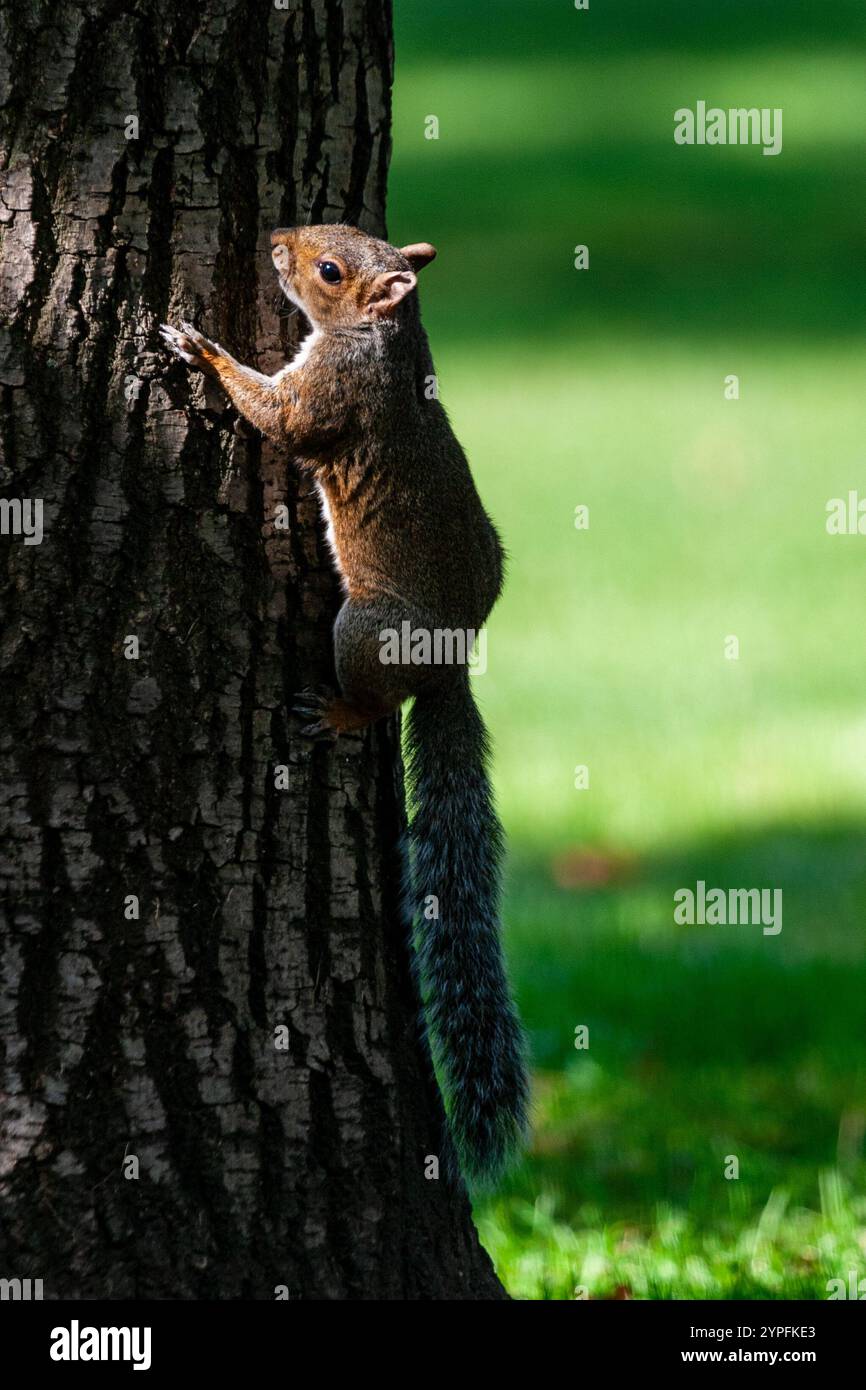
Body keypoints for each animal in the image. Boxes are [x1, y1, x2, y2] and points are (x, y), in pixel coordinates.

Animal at [161, 224, 529, 1183]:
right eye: (332, 237)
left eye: (329, 270)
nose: (276, 241)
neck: (389, 340)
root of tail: (450, 664)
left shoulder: (331, 397)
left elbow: (280, 418)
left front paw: (203, 349)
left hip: (362, 628)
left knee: (370, 701)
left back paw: (335, 715)